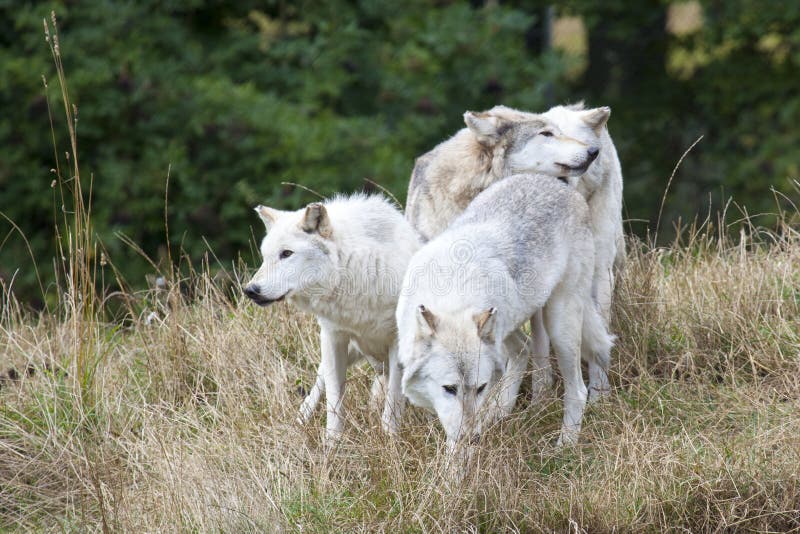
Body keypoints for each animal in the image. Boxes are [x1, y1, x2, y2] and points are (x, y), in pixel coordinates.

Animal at [243, 194, 420, 441]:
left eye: (286, 253)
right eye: (265, 257)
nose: (250, 290)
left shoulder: (397, 342)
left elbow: (392, 402)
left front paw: (390, 441)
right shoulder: (333, 336)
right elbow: (334, 402)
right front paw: (332, 444)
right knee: (318, 386)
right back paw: (299, 422)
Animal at [397, 174, 614, 449]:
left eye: (480, 387)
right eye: (449, 388)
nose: (472, 438)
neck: (453, 296)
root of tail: (561, 186)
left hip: (559, 324)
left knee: (578, 390)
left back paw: (565, 446)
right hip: (507, 323)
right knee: (524, 348)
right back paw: (500, 413)